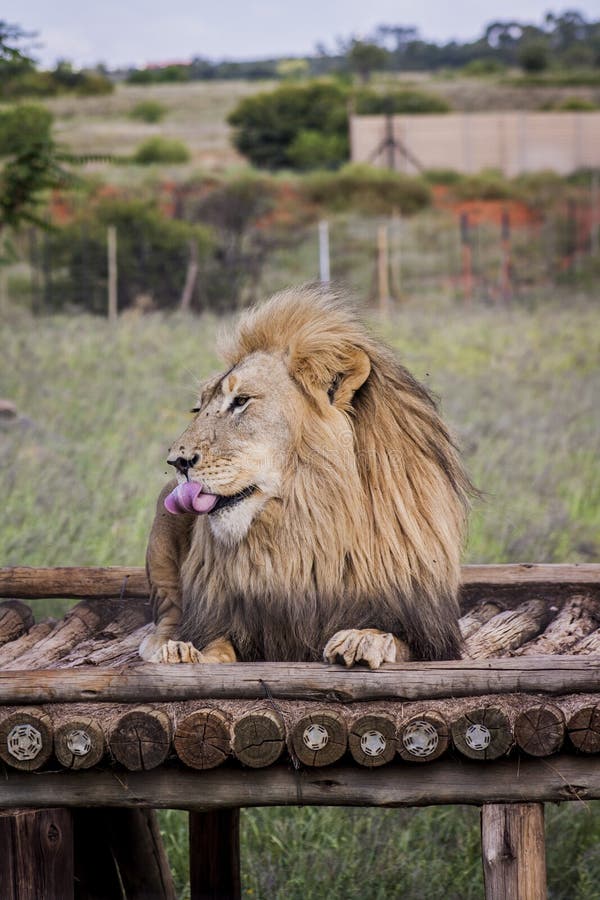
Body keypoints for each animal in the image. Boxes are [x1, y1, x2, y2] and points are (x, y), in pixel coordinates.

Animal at [139, 287, 473, 668]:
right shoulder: (229, 620)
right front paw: (187, 654)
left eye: (241, 401)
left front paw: (362, 640)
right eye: (199, 407)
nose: (176, 461)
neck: (302, 524)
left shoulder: (429, 635)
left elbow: (395, 639)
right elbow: (217, 645)